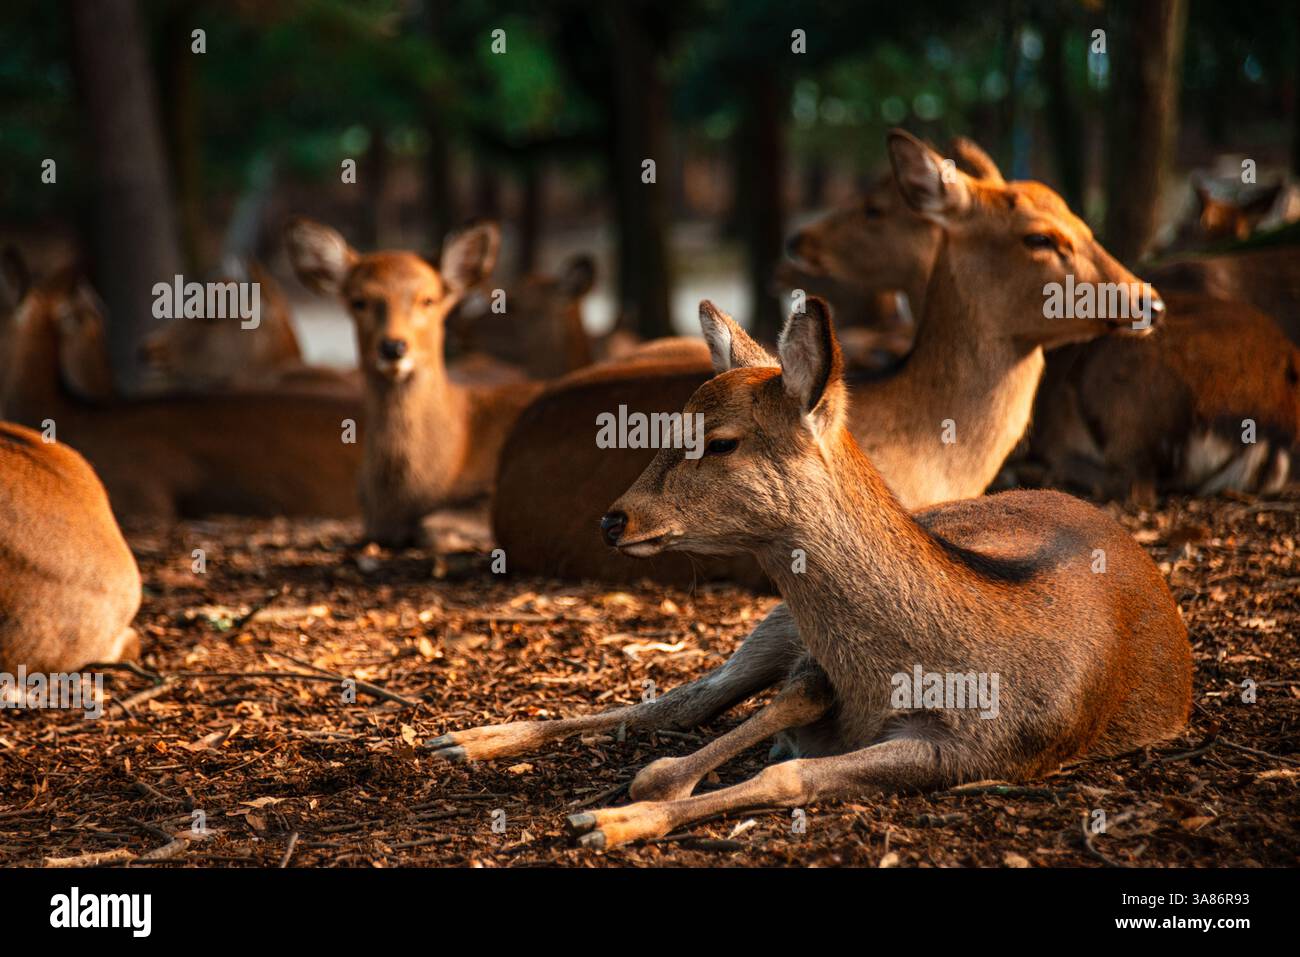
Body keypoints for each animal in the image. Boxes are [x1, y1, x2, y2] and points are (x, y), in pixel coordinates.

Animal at [428, 297, 1193, 850]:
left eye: (721, 440)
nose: (614, 520)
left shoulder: (986, 752)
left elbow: (787, 773)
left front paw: (612, 820)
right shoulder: (818, 669)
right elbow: (752, 723)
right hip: (775, 622)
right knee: (682, 699)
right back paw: (463, 738)